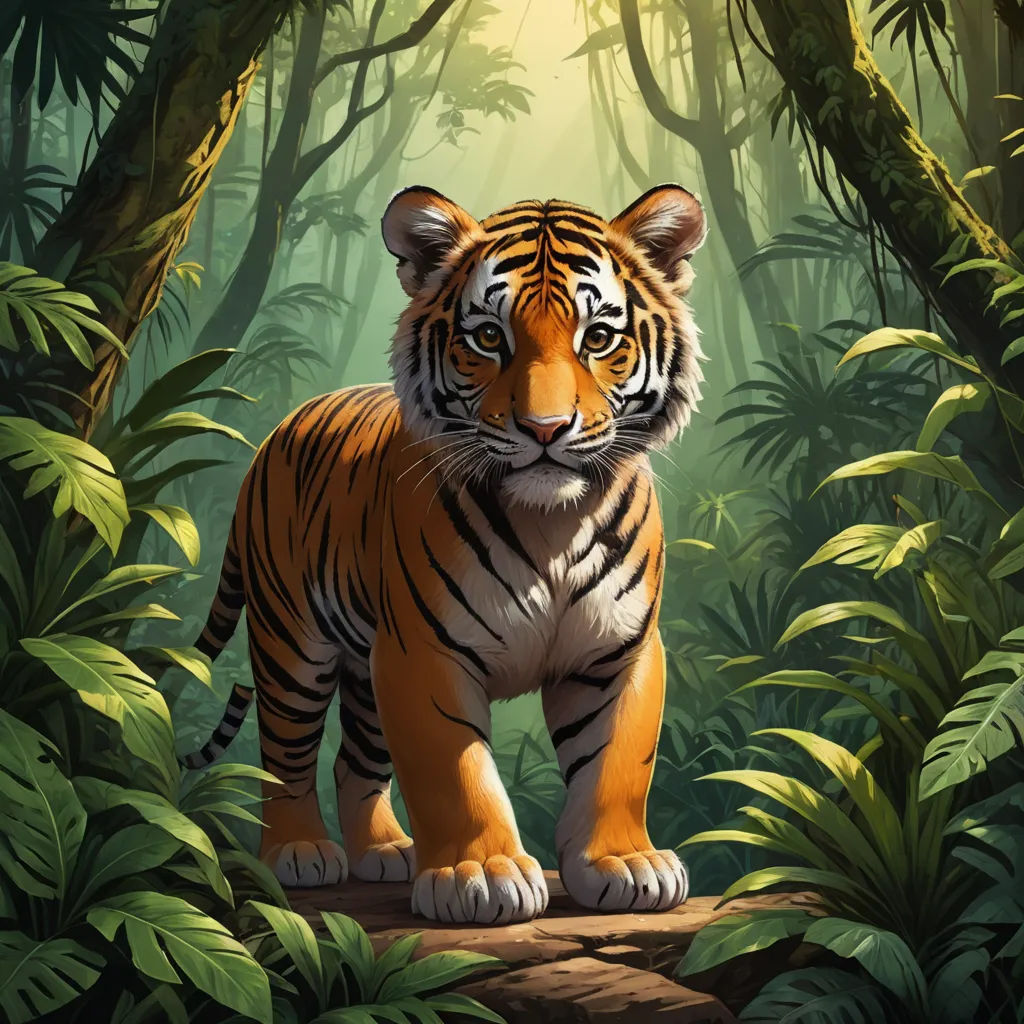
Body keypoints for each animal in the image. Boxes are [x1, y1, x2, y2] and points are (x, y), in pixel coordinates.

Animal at [183, 183, 707, 924]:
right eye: (488, 337)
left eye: (599, 338)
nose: (546, 429)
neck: (552, 522)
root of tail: (276, 431)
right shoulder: (424, 652)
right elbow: (455, 771)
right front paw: (479, 875)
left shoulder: (619, 650)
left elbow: (617, 763)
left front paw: (623, 863)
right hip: (292, 642)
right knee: (284, 751)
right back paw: (298, 852)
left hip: (365, 665)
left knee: (352, 760)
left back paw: (385, 852)